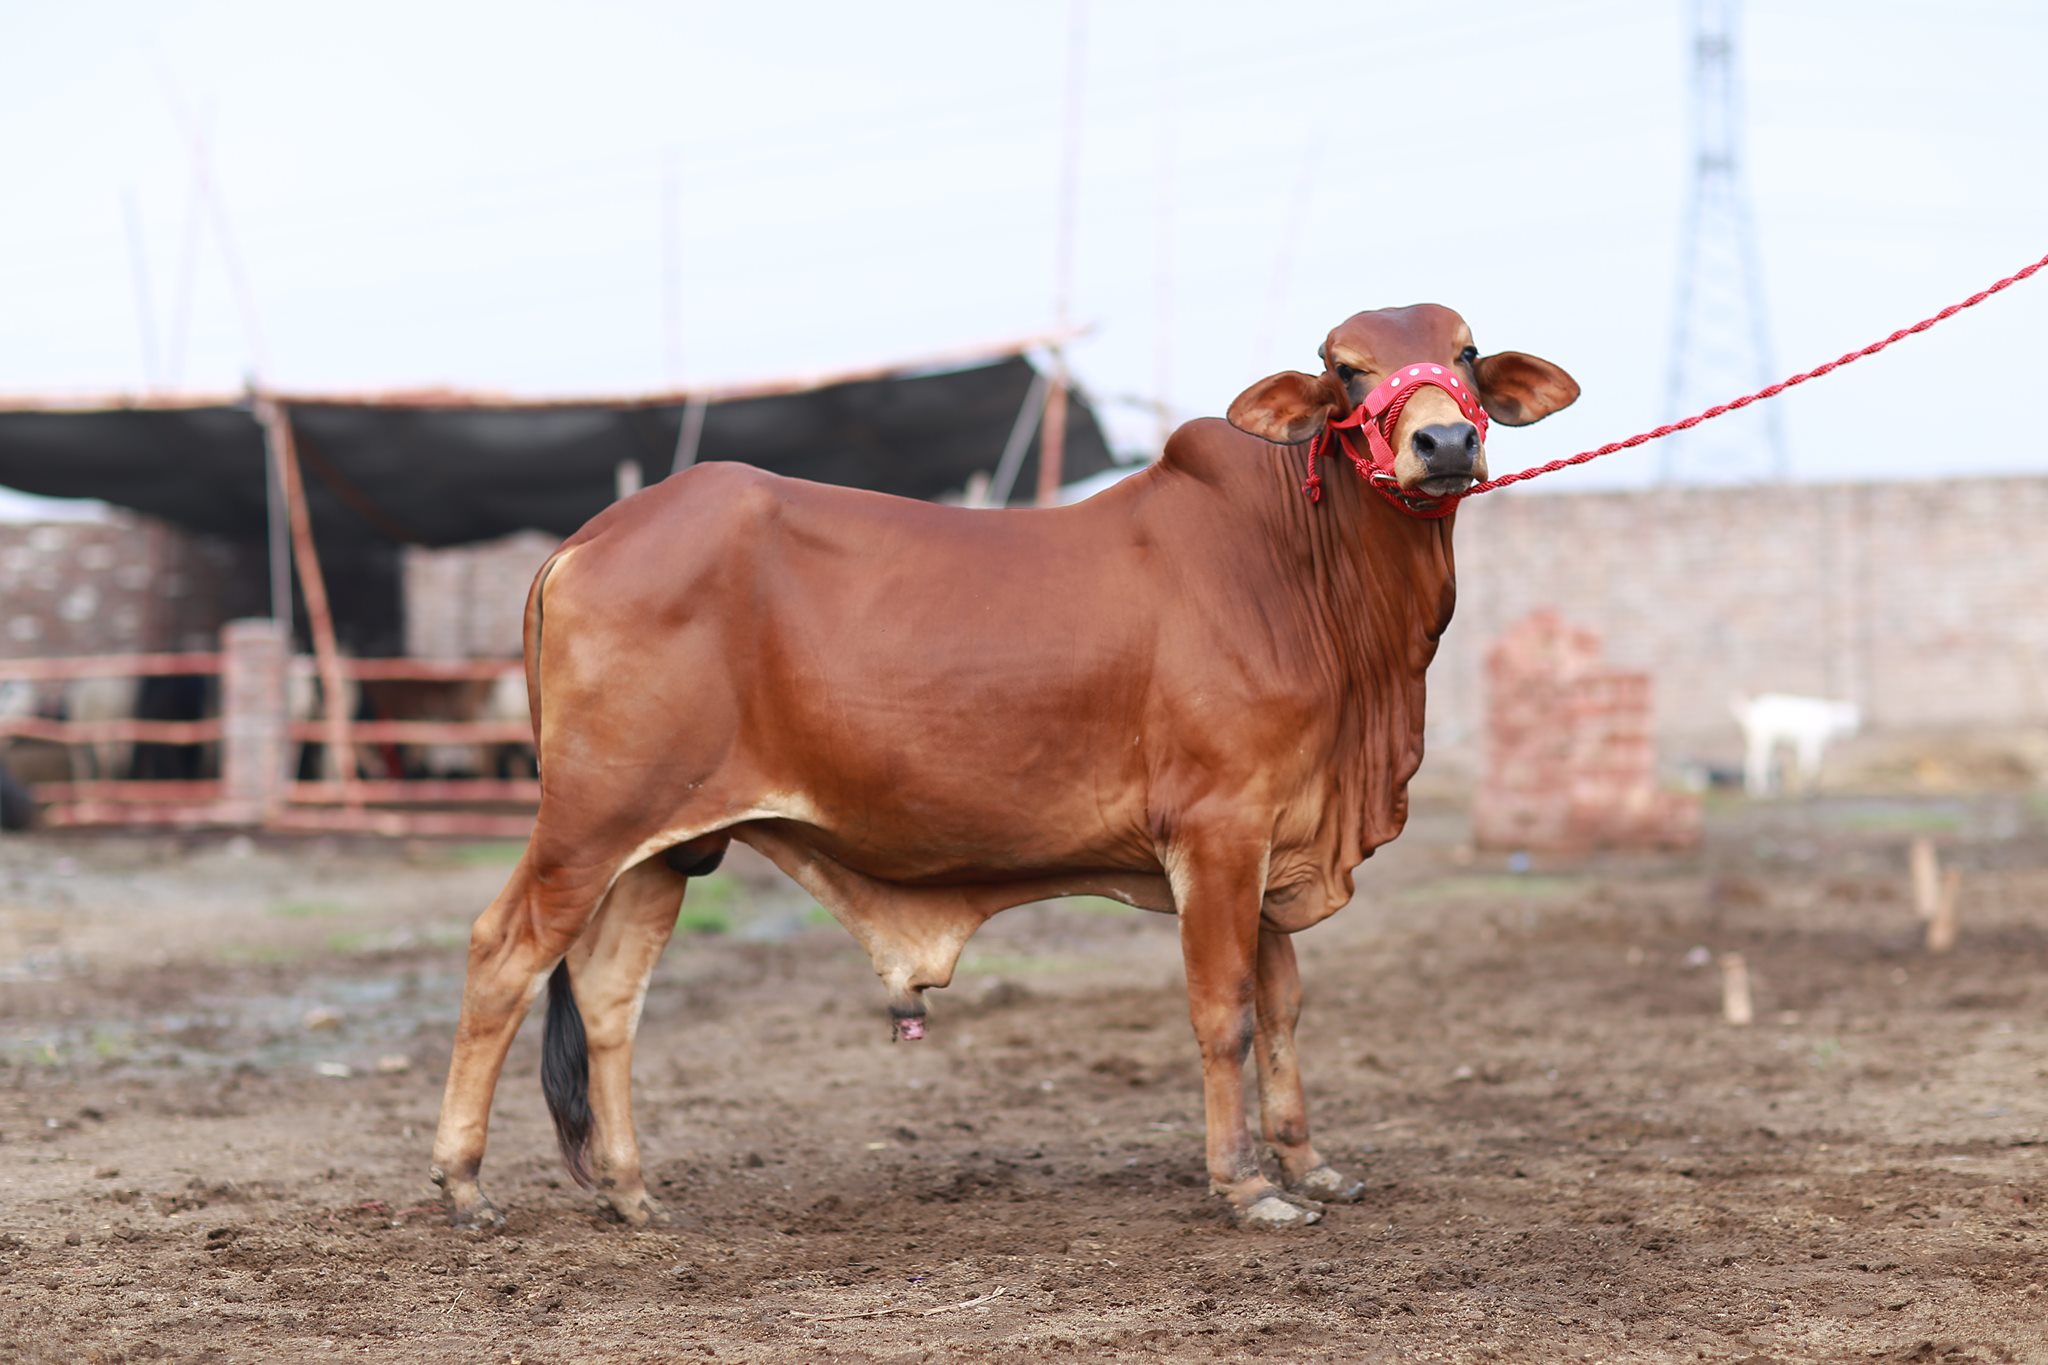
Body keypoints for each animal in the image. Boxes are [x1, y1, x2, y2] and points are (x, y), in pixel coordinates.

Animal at [430, 304, 1578, 1230]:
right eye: (1343, 367)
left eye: (1464, 352)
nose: (1442, 439)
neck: (1311, 585)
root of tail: (590, 538)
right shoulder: (1217, 834)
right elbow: (1227, 1014)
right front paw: (1247, 1185)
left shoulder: (1273, 841)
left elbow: (1284, 1009)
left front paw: (1310, 1166)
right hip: (590, 823)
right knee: (502, 954)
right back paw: (464, 1184)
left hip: (665, 847)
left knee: (608, 993)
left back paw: (631, 1192)